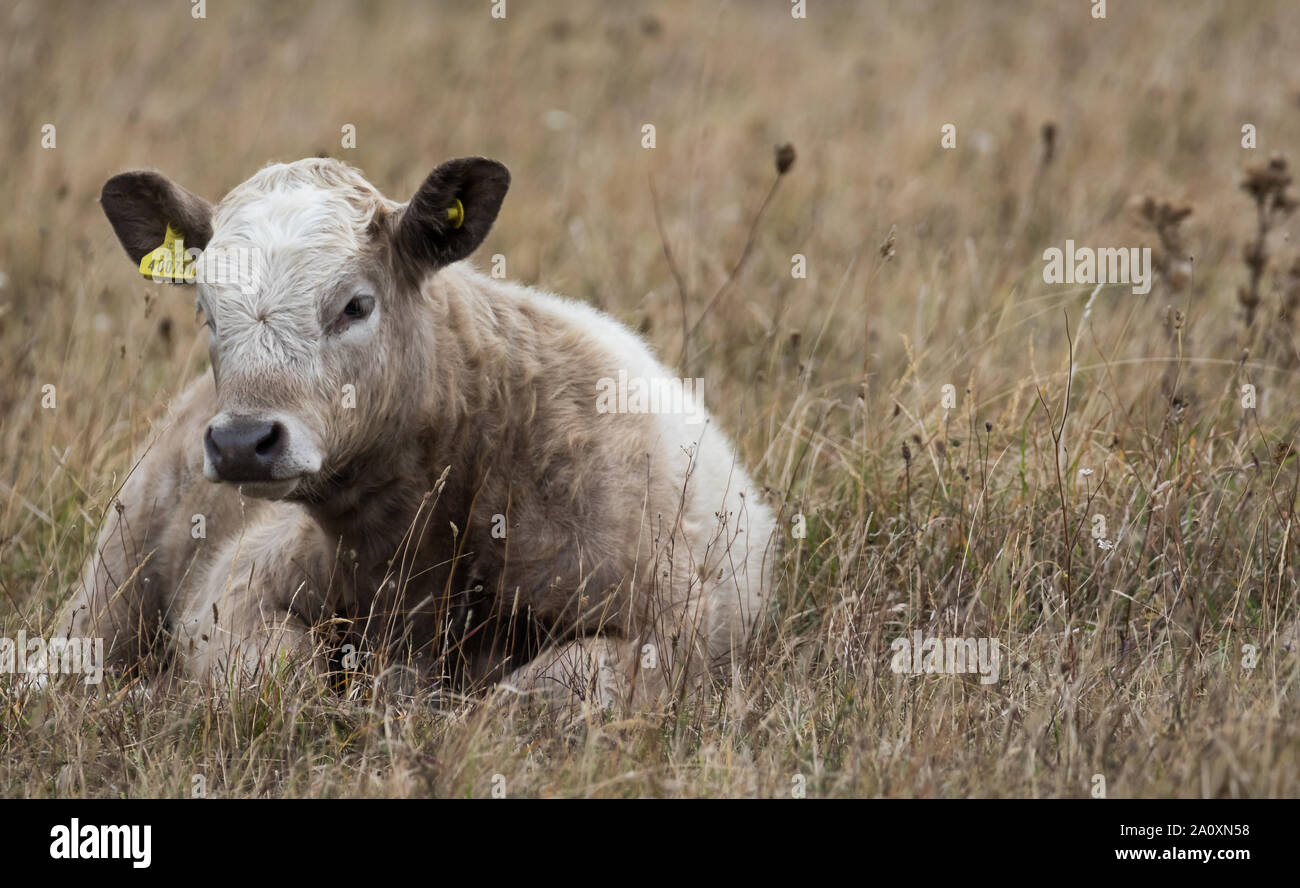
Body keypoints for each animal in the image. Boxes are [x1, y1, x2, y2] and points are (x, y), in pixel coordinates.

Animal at [57, 156, 775, 712]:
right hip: (106, 587)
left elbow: (539, 693)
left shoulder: (669, 629)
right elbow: (279, 675)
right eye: (206, 311)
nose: (241, 441)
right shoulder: (234, 590)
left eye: (356, 305)